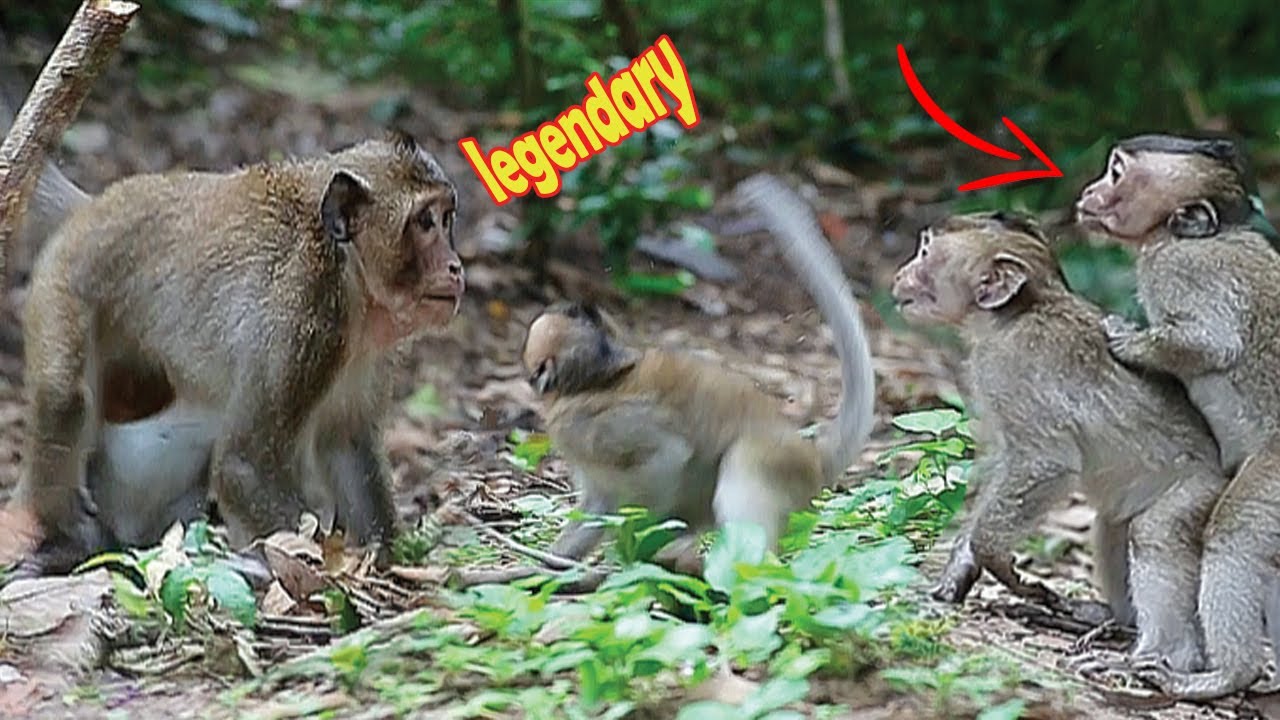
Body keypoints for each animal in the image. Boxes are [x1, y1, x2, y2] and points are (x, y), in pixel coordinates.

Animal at [8, 131, 464, 575]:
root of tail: (94, 206)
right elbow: (245, 465)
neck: (347, 270)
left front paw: (389, 559)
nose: (456, 266)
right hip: (64, 281)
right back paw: (69, 538)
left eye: (446, 218)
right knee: (65, 398)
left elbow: (346, 442)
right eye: (424, 222)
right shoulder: (304, 314)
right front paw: (327, 569)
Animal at [519, 173, 875, 573]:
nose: (578, 304)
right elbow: (599, 504)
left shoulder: (591, 426)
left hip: (778, 464)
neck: (596, 379)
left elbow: (667, 455)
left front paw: (635, 551)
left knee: (743, 463)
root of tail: (812, 456)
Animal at [890, 211, 1228, 673]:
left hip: (1199, 490)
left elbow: (1046, 463)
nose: (899, 274)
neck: (1017, 312)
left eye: (925, 251)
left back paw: (1158, 656)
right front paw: (963, 564)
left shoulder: (1008, 365)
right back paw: (1109, 620)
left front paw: (993, 560)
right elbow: (1006, 462)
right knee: (1113, 527)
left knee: (1155, 533)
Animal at [1076, 134, 1280, 698]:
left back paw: (1226, 674)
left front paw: (1130, 341)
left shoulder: (1179, 268)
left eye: (1116, 173)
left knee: (1230, 536)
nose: (1090, 191)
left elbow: (1211, 342)